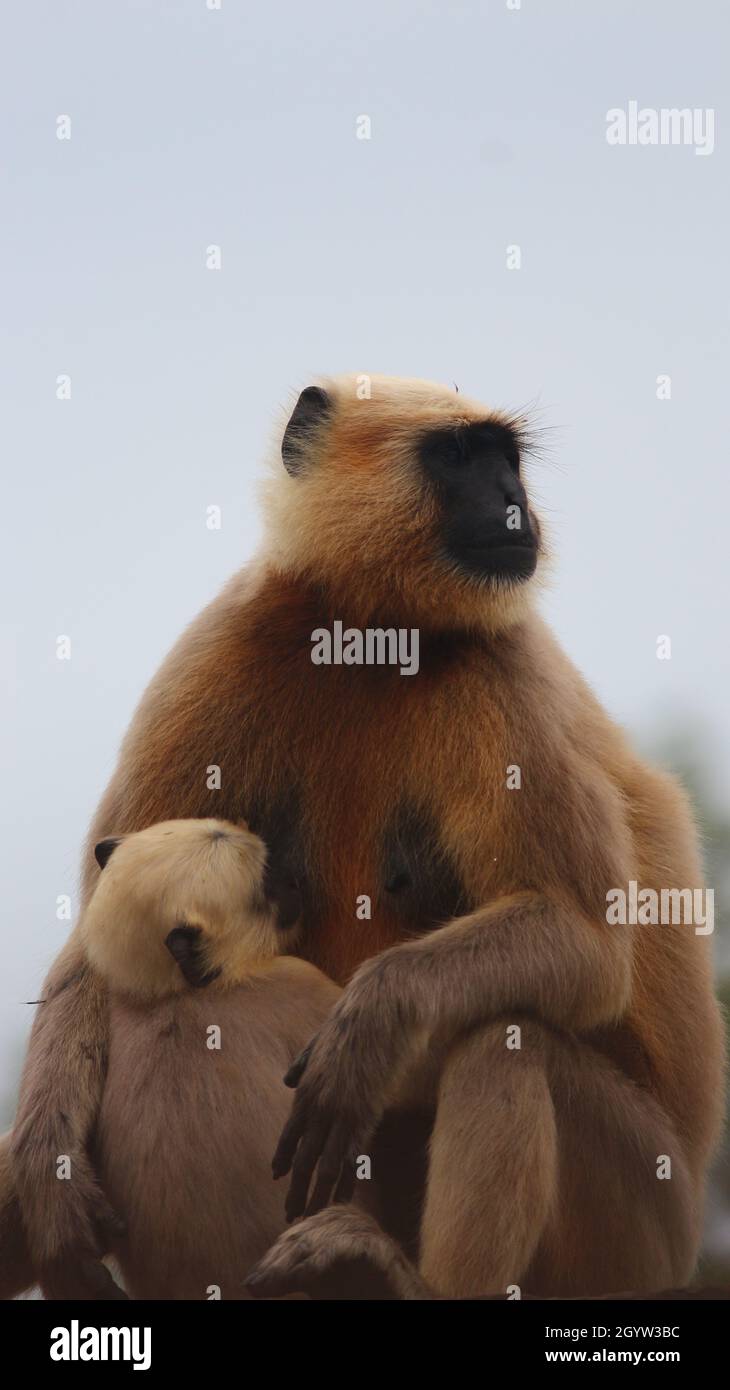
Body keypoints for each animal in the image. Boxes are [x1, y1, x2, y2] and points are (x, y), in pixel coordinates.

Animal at [3, 374, 724, 1299]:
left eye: (506, 458)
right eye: (459, 456)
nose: (512, 501)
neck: (377, 639)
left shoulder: (505, 668)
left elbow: (589, 945)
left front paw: (377, 1017)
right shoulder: (231, 636)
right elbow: (95, 943)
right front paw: (52, 1184)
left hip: (638, 1223)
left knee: (508, 1038)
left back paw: (392, 1271)